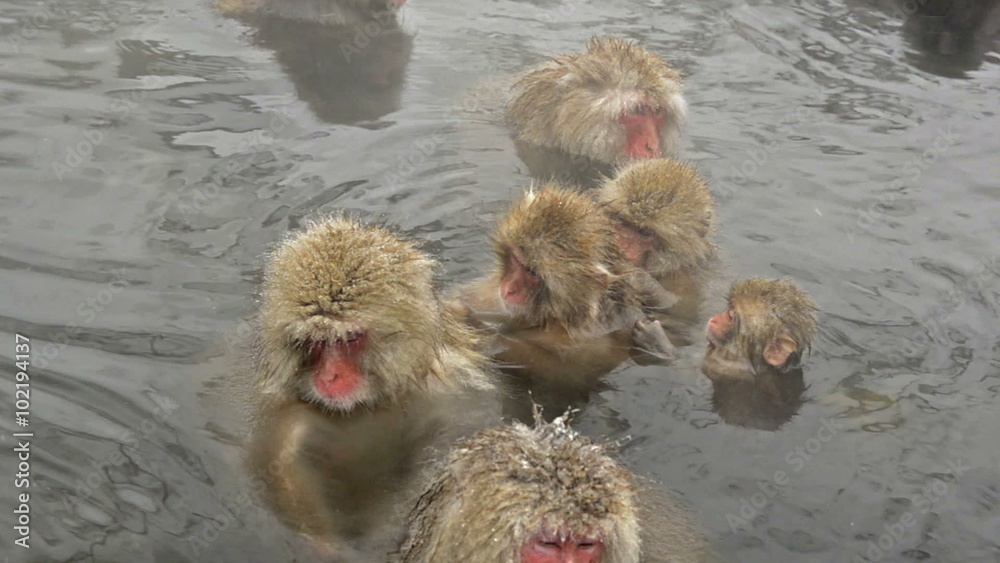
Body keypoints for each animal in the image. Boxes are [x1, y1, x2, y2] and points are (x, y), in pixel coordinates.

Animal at [244, 216, 496, 558]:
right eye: (316, 343)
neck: (371, 402)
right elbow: (286, 469)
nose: (329, 377)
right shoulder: (290, 421)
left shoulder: (446, 391)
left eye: (349, 339)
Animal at [596, 158, 717, 346]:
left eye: (645, 232)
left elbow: (681, 311)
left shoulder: (687, 278)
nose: (621, 247)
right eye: (623, 222)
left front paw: (637, 278)